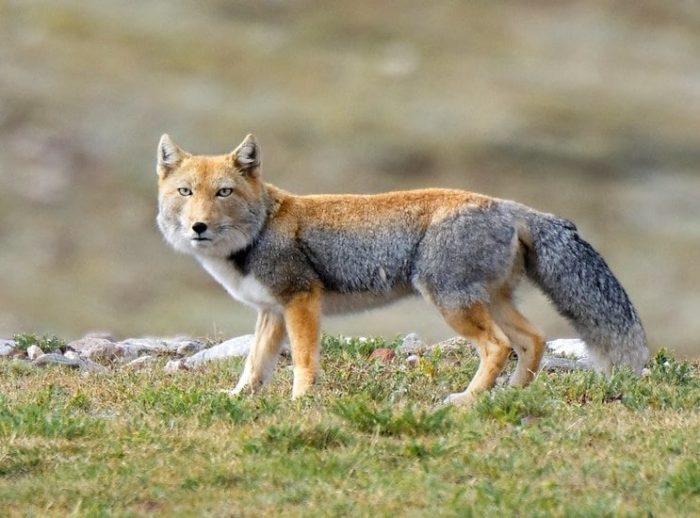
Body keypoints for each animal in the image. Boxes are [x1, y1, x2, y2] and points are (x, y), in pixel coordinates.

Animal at [156, 133, 648, 406]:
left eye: (223, 192)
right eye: (185, 192)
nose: (198, 226)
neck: (260, 229)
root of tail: (508, 205)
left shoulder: (300, 301)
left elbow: (303, 360)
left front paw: (300, 402)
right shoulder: (271, 312)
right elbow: (254, 365)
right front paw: (238, 398)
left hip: (451, 302)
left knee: (499, 346)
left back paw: (466, 400)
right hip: (488, 301)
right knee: (533, 340)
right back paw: (508, 395)